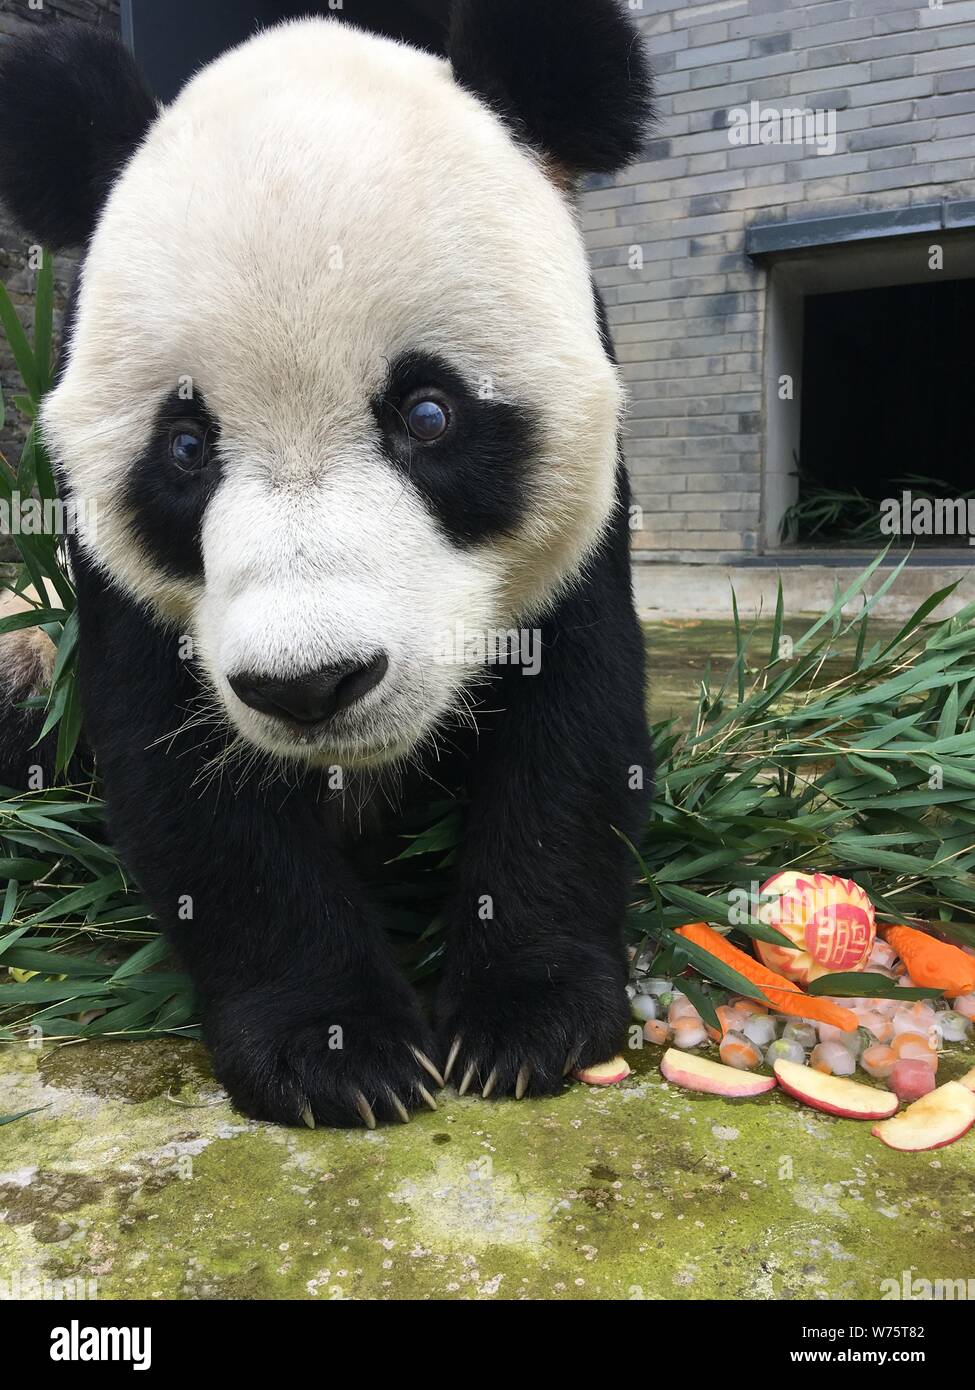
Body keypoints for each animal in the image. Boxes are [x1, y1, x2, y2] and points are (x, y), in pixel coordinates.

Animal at [0, 1, 654, 1128]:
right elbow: (184, 780)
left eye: (428, 414)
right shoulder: (126, 584)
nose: (311, 686)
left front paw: (525, 1023)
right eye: (185, 447)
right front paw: (335, 1051)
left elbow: (573, 725)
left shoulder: (583, 527)